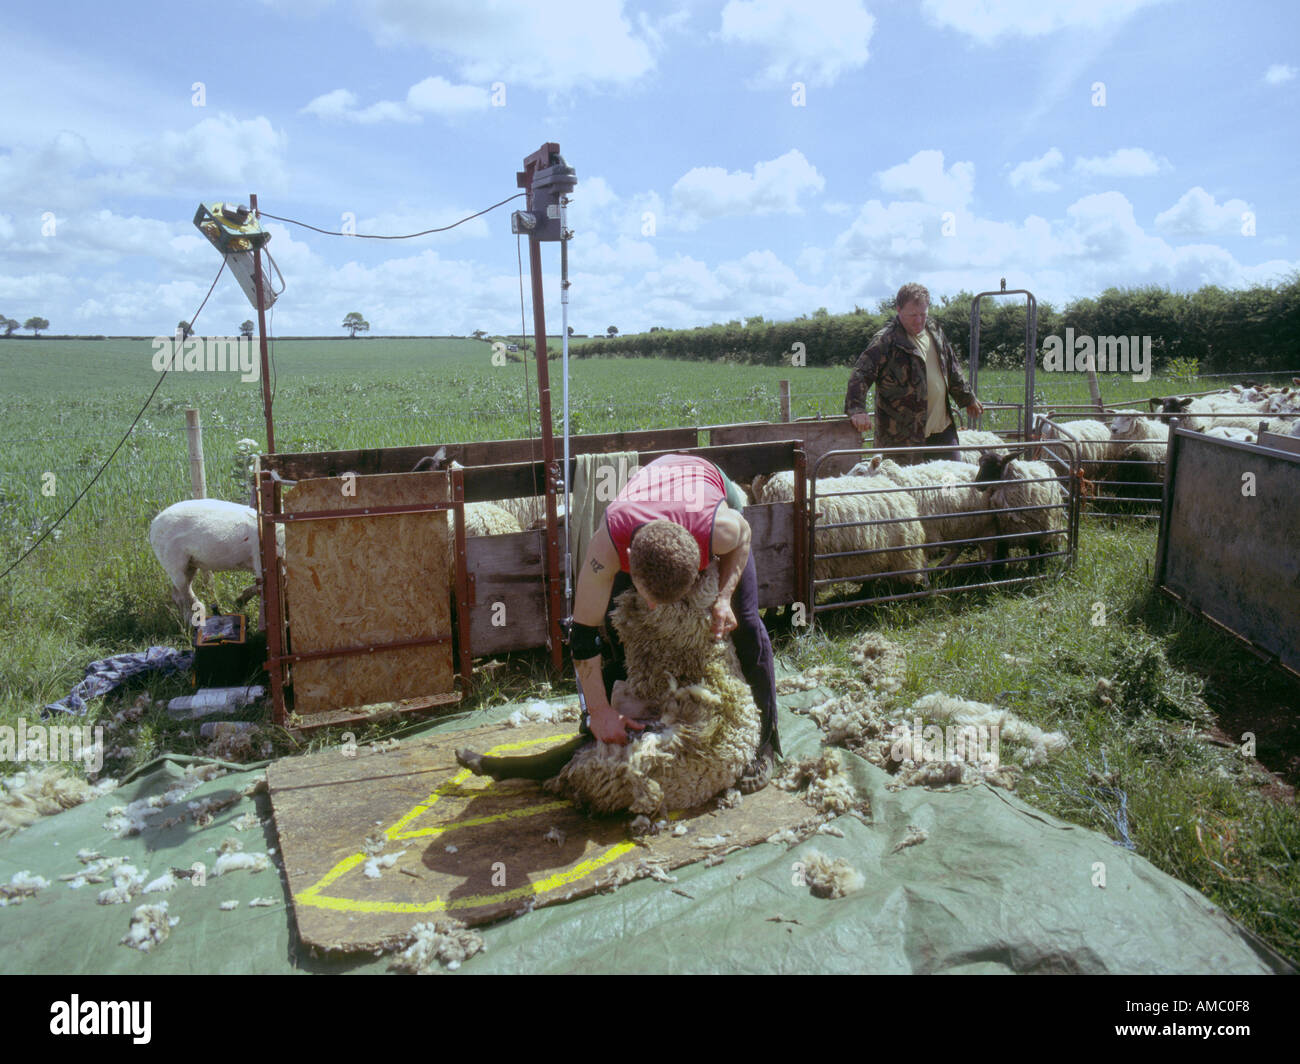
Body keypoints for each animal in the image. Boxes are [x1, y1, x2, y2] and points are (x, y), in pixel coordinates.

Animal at [149, 499, 284, 618]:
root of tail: (154, 523)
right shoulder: (261, 562)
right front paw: (239, 602)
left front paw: (239, 601)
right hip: (173, 563)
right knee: (184, 593)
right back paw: (194, 620)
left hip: (190, 564)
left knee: (177, 594)